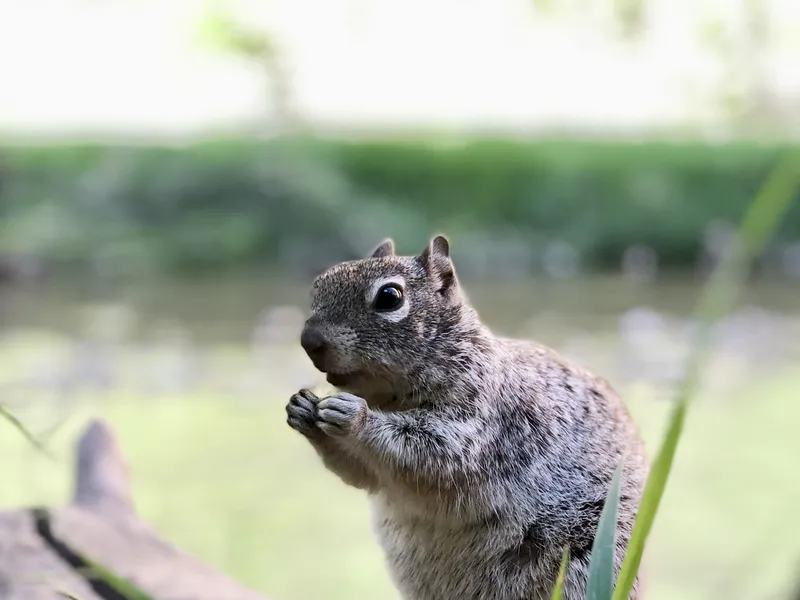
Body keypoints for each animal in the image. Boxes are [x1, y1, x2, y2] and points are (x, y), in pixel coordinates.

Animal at [285, 235, 649, 600]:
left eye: (390, 297)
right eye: (318, 286)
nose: (309, 340)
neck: (389, 398)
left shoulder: (483, 423)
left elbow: (432, 458)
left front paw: (354, 416)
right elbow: (361, 473)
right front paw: (302, 411)